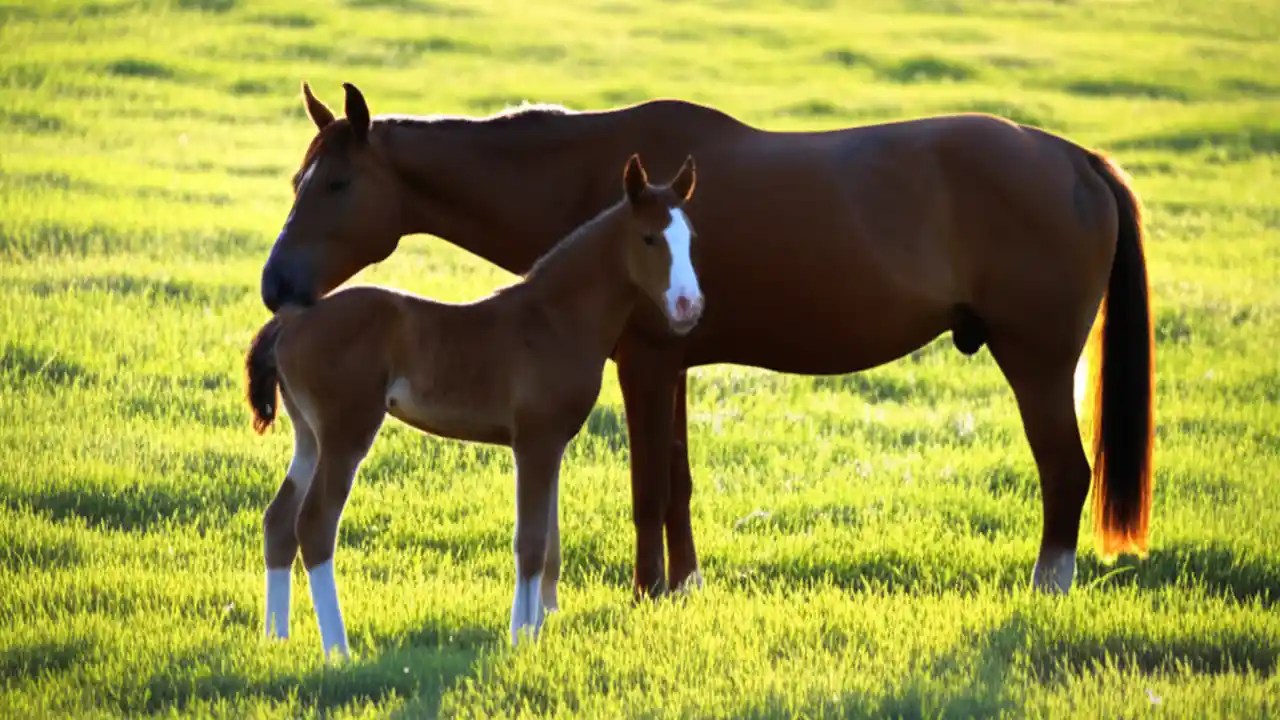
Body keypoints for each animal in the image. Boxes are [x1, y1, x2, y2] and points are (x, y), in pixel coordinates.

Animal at [245, 154, 701, 658]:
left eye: (691, 238)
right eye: (650, 237)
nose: (688, 306)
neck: (553, 319)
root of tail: (289, 322)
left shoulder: (553, 442)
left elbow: (550, 542)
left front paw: (537, 629)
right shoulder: (535, 441)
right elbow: (531, 542)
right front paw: (520, 637)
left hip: (308, 436)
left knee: (279, 521)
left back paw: (276, 637)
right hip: (346, 433)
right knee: (315, 524)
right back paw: (339, 651)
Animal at [260, 82, 1154, 600]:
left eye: (336, 183)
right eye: (298, 179)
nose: (275, 285)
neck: (603, 190)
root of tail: (1074, 158)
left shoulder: (645, 368)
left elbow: (647, 488)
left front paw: (647, 592)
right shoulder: (673, 366)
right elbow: (679, 484)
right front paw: (684, 587)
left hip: (1037, 363)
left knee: (1066, 474)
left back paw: (1047, 588)